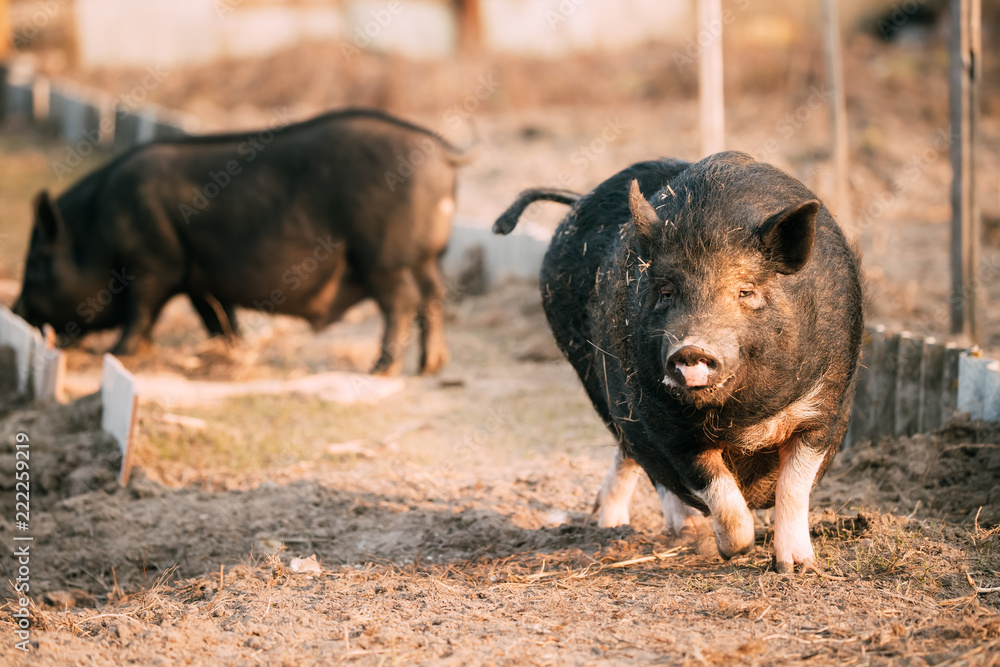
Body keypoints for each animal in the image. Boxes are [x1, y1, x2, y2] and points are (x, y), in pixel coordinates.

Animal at [13, 108, 470, 375]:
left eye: (35, 263)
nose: (15, 310)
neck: (93, 231)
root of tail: (444, 152)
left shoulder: (152, 264)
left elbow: (140, 311)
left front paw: (118, 354)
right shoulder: (197, 279)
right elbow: (216, 316)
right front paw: (230, 349)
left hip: (385, 259)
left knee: (404, 301)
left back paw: (381, 368)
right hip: (426, 258)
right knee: (434, 295)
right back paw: (431, 366)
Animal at [493, 153, 863, 572]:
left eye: (746, 290)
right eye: (666, 291)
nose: (690, 350)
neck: (744, 420)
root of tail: (577, 199)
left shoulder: (823, 408)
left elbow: (795, 484)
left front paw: (796, 566)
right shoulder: (668, 426)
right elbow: (710, 484)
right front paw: (733, 549)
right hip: (596, 381)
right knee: (639, 455)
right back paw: (661, 529)